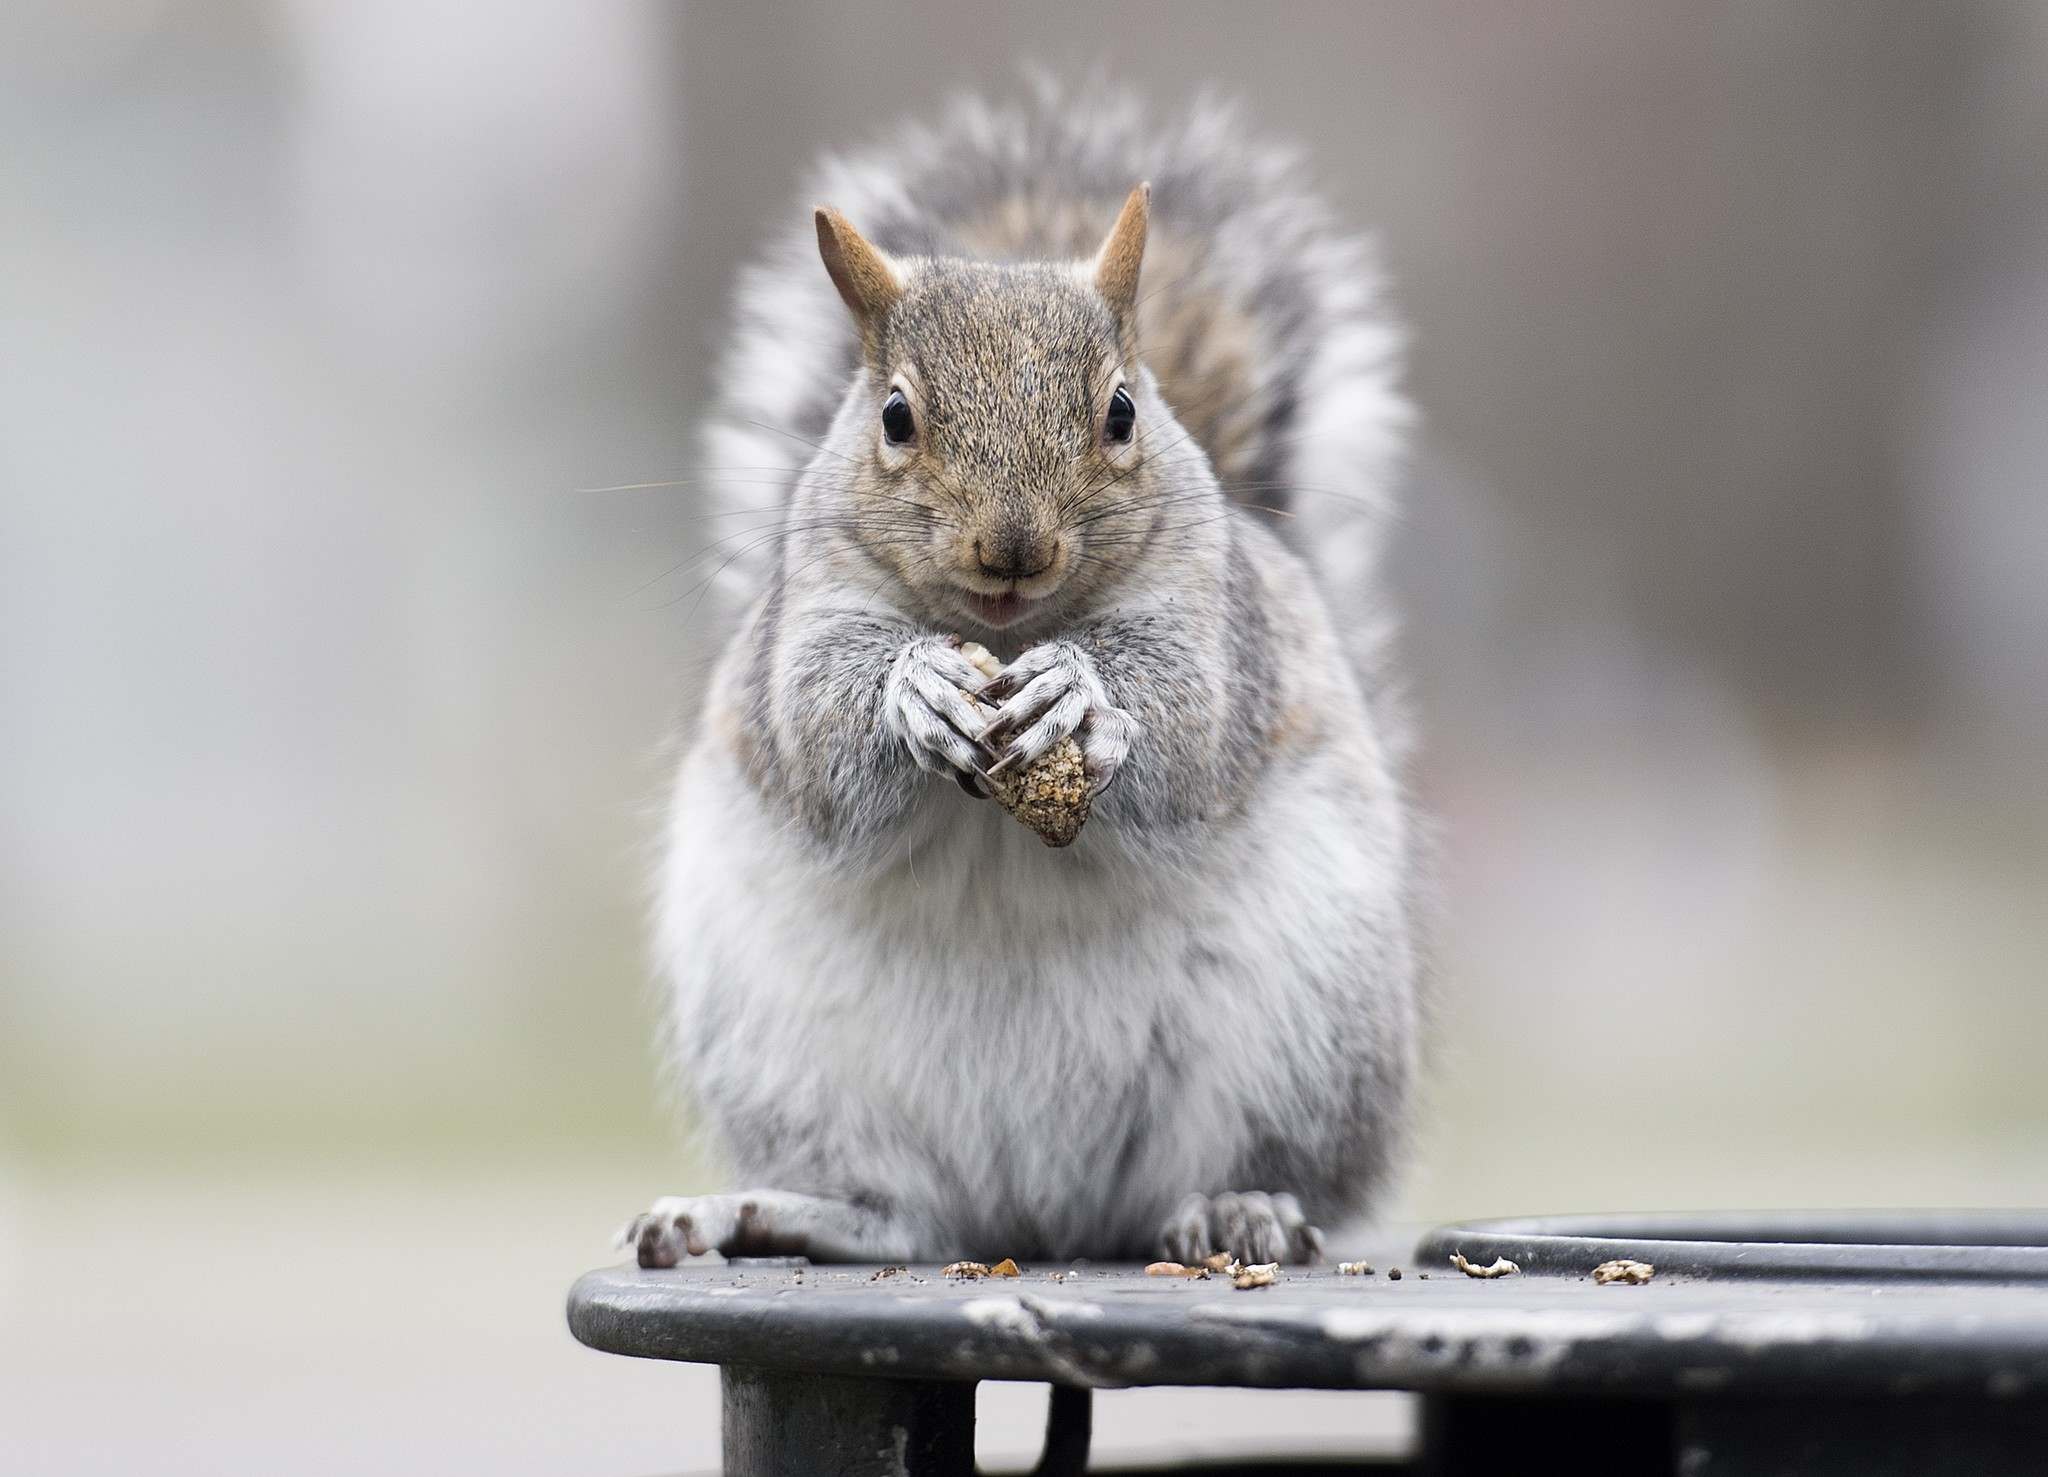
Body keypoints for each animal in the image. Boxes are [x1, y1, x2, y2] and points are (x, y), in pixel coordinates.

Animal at [625, 84, 1421, 1268]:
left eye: (1123, 411)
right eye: (894, 416)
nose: (1013, 548)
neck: (1002, 632)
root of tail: (1035, 1214)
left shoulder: (1221, 633)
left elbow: (1188, 735)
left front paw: (1081, 694)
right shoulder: (797, 630)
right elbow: (818, 745)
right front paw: (912, 689)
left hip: (1309, 1024)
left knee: (1249, 1169)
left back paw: (1239, 1206)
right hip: (779, 1049)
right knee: (895, 1212)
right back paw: (750, 1212)